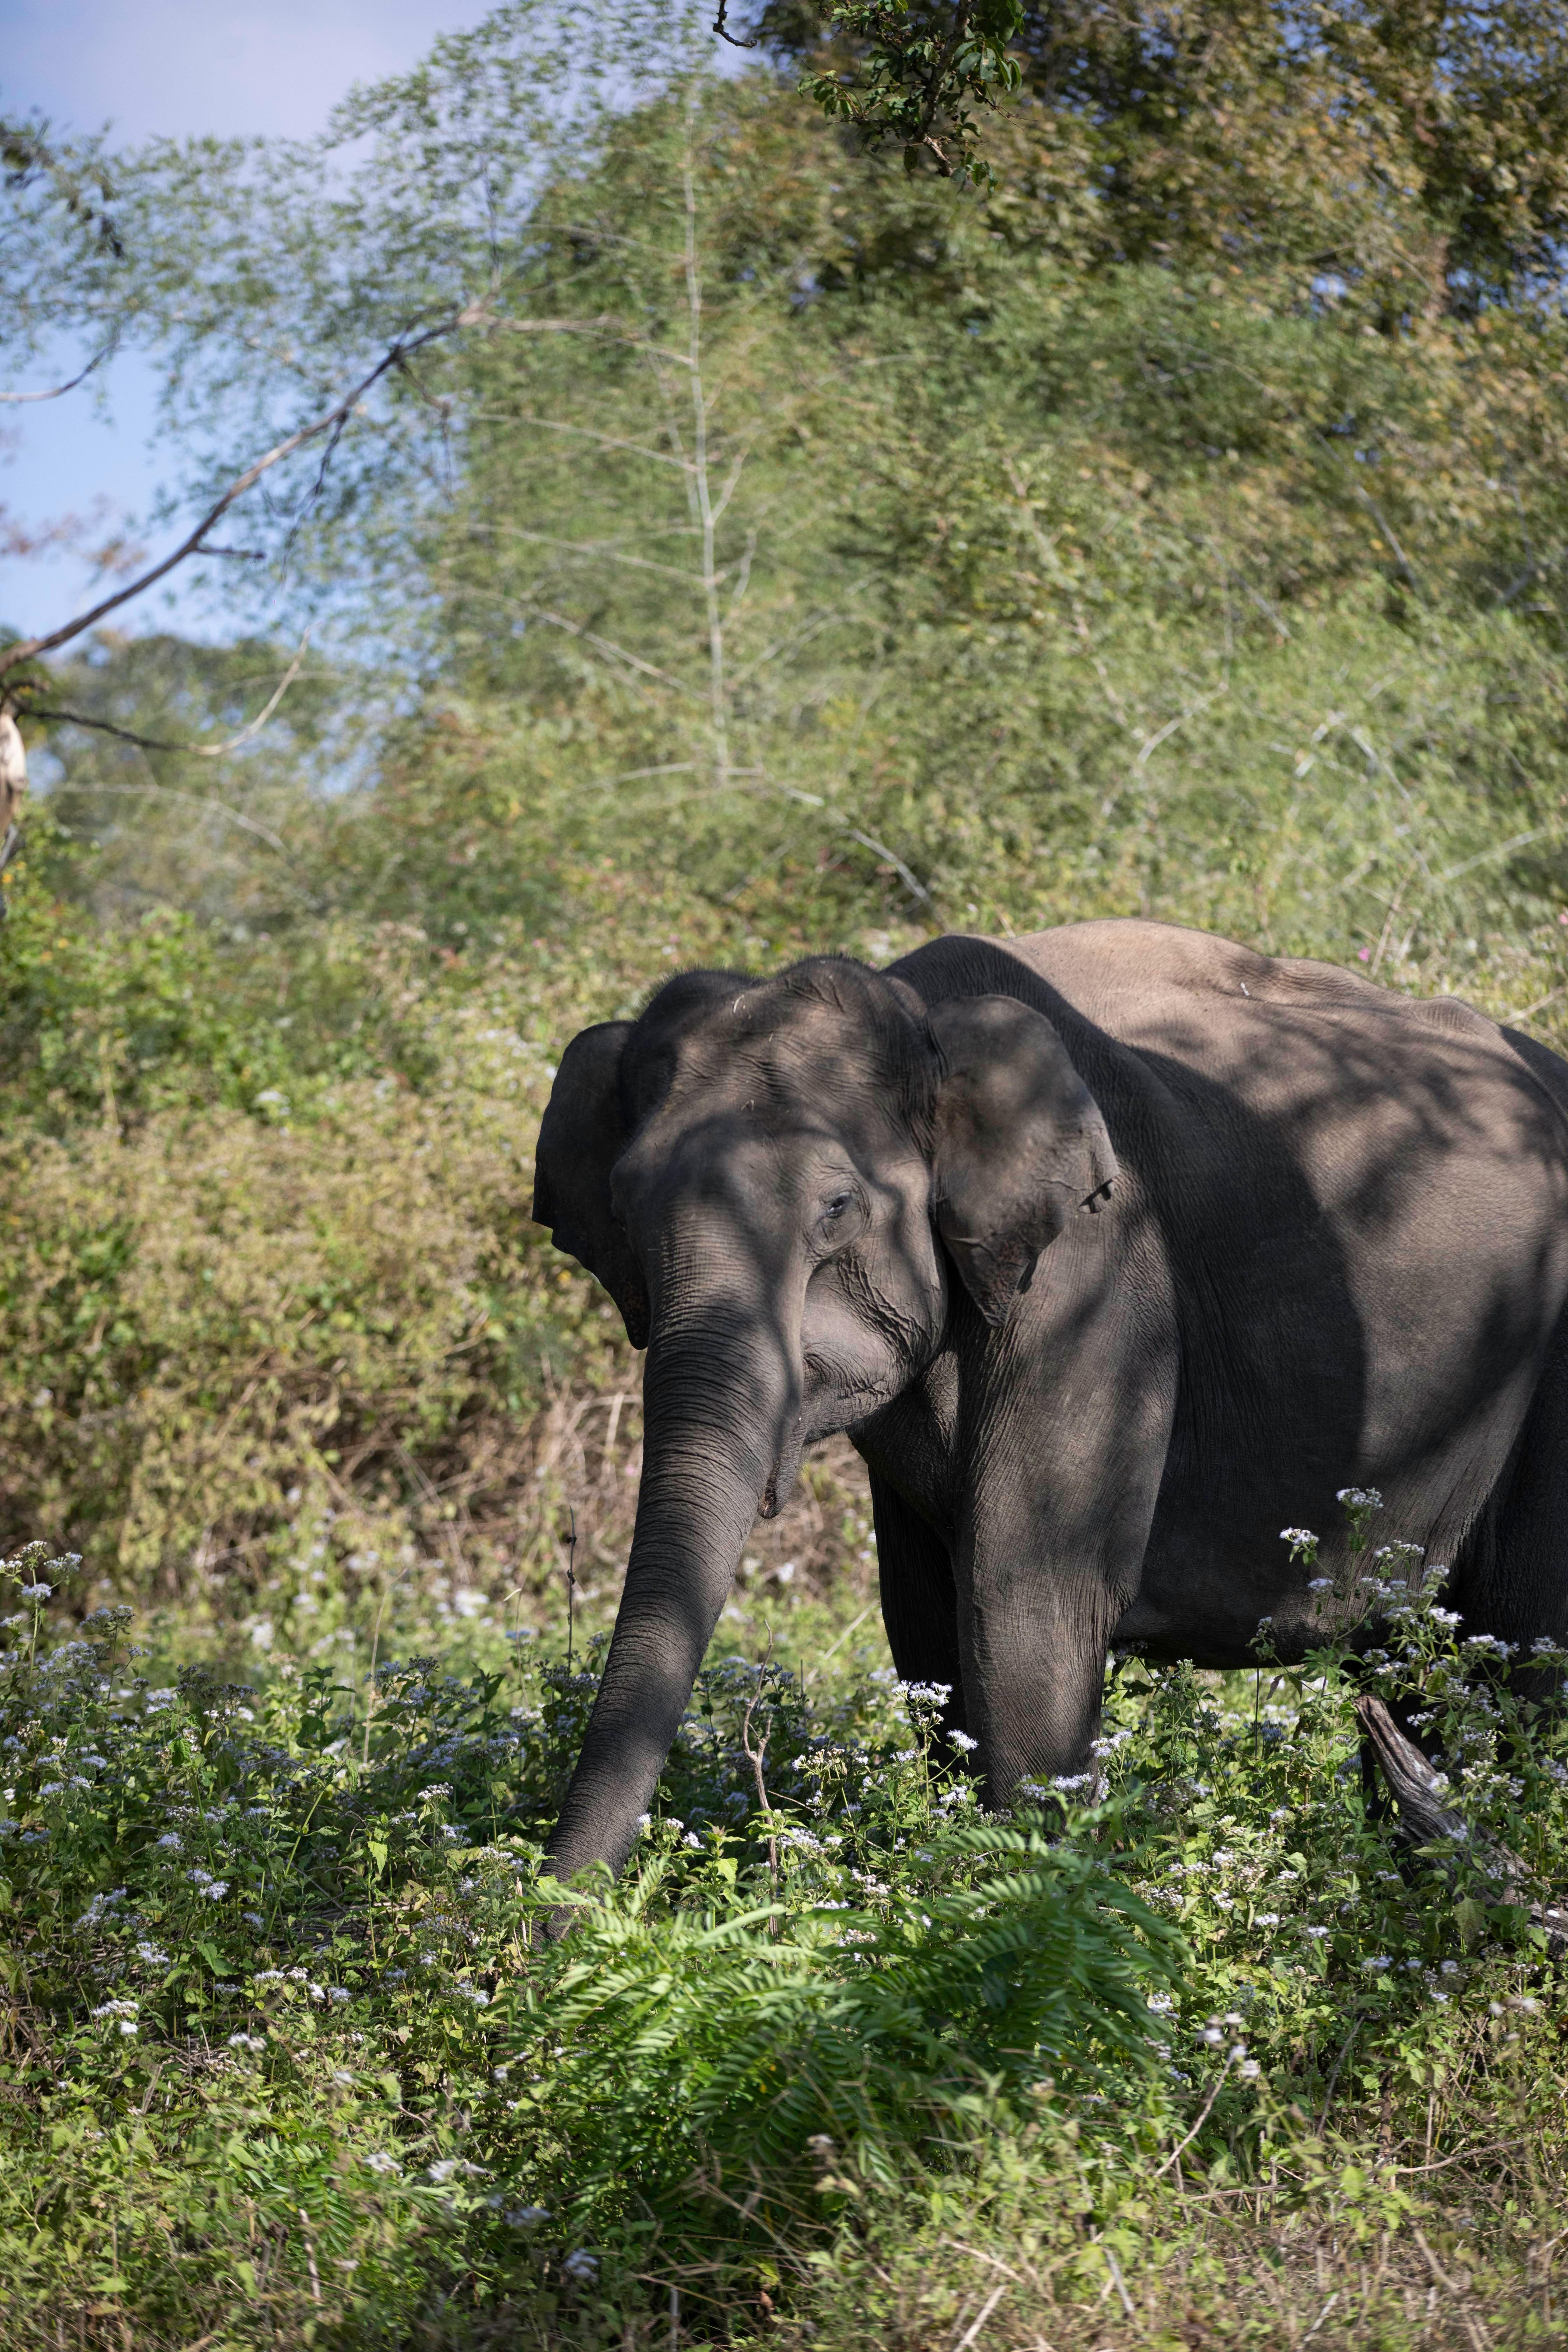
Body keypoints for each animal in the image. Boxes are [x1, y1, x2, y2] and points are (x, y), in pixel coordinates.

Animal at [531, 919, 1568, 1884]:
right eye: (622, 1211)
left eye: (835, 1209)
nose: (549, 1929)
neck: (925, 1020)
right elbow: (925, 1618)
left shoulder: (1101, 1277)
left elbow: (1024, 1595)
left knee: (1513, 1657)